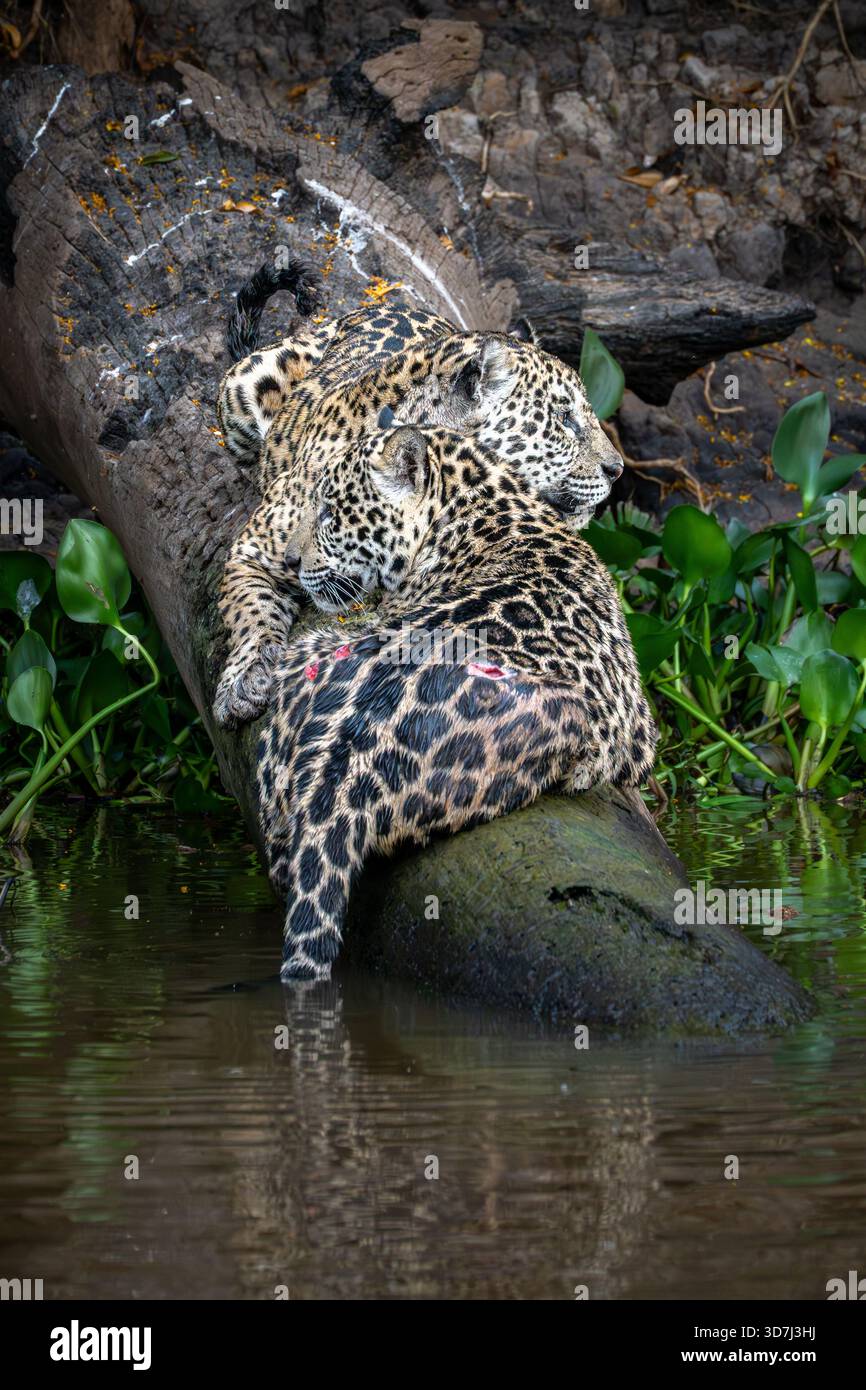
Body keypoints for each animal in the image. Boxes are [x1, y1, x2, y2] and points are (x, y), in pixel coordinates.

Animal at [213, 264, 624, 731]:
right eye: (565, 419)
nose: (617, 469)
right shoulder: (253, 549)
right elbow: (250, 611)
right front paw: (243, 682)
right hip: (243, 387)